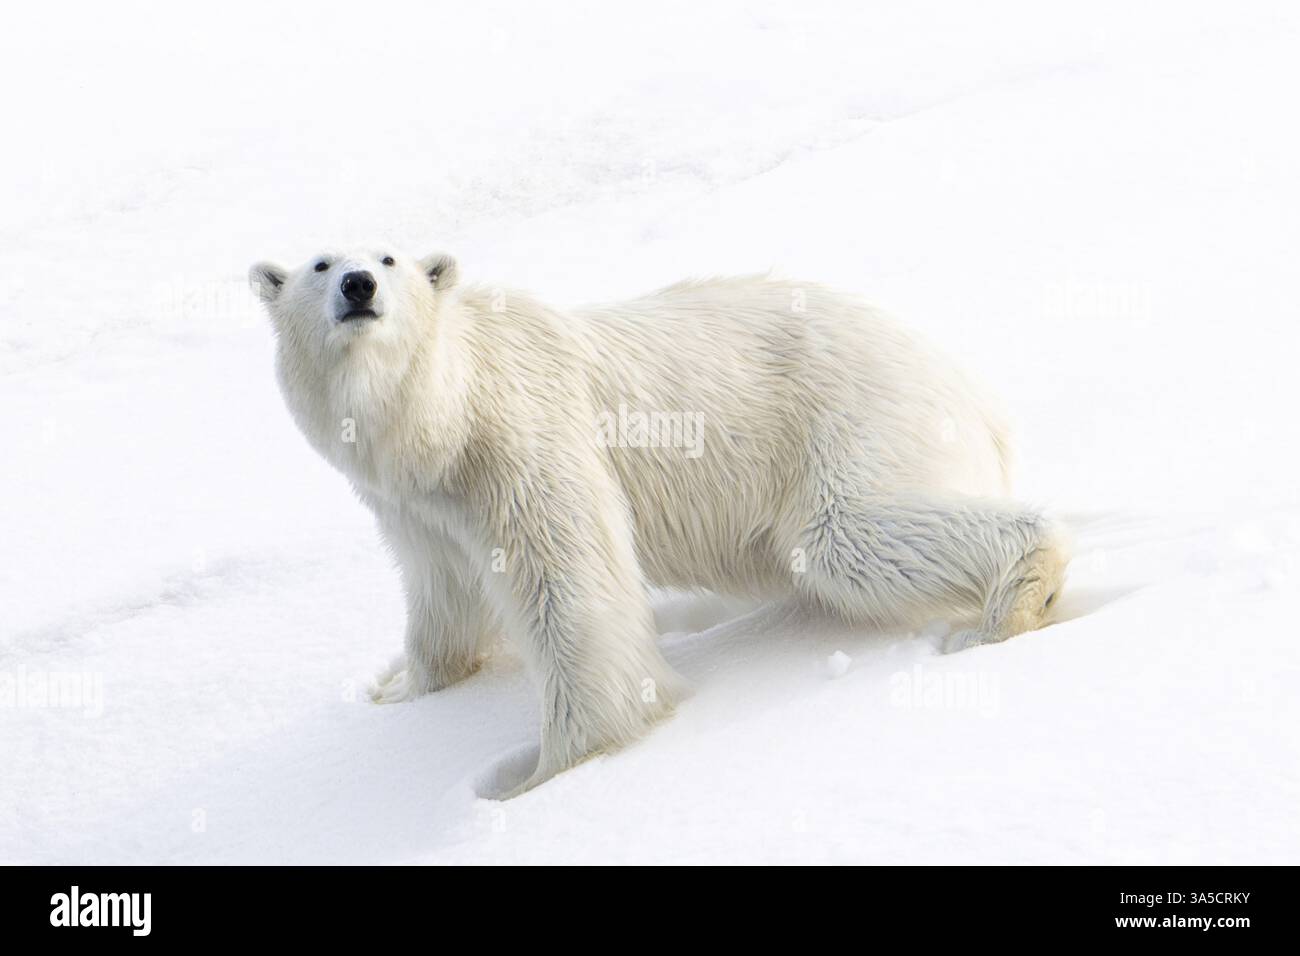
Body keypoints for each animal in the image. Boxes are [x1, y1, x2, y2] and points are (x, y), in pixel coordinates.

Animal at [249, 247, 1068, 793]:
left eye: (388, 255)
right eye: (320, 262)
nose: (358, 285)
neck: (446, 418)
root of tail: (973, 396)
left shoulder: (523, 441)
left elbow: (571, 589)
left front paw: (554, 771)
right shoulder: (416, 507)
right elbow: (444, 598)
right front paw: (400, 691)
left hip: (849, 416)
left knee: (846, 536)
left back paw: (1018, 596)